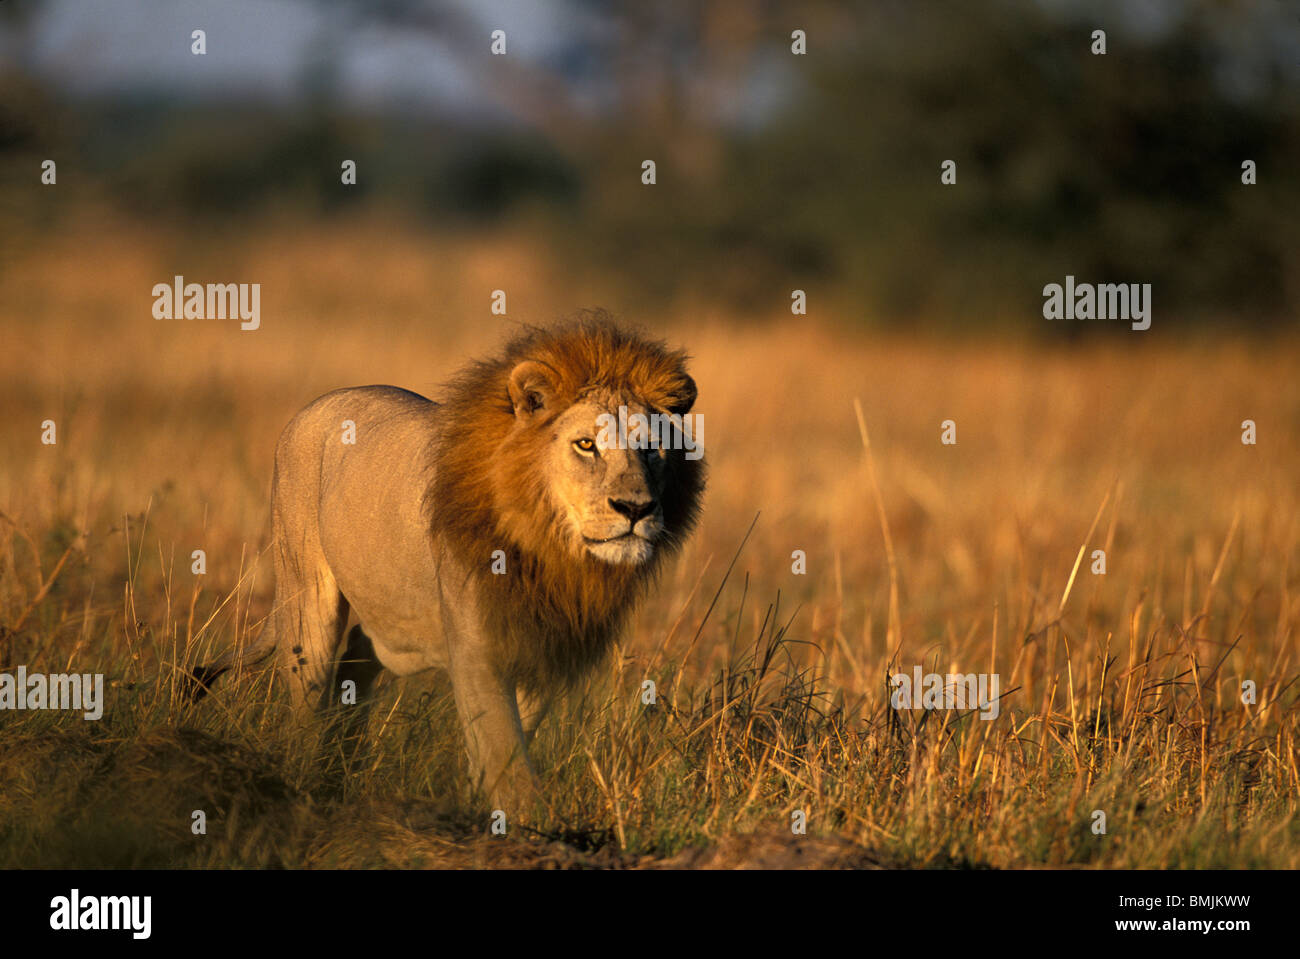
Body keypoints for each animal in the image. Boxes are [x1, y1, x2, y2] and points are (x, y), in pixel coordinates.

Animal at [190, 314, 704, 816]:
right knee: (307, 695)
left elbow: (509, 746)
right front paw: (528, 824)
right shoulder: (477, 649)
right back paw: (304, 781)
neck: (550, 548)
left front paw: (479, 804)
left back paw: (341, 766)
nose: (635, 508)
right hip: (305, 595)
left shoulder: (543, 646)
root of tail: (320, 403)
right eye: (585, 445)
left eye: (652, 449)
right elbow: (506, 757)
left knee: (357, 653)